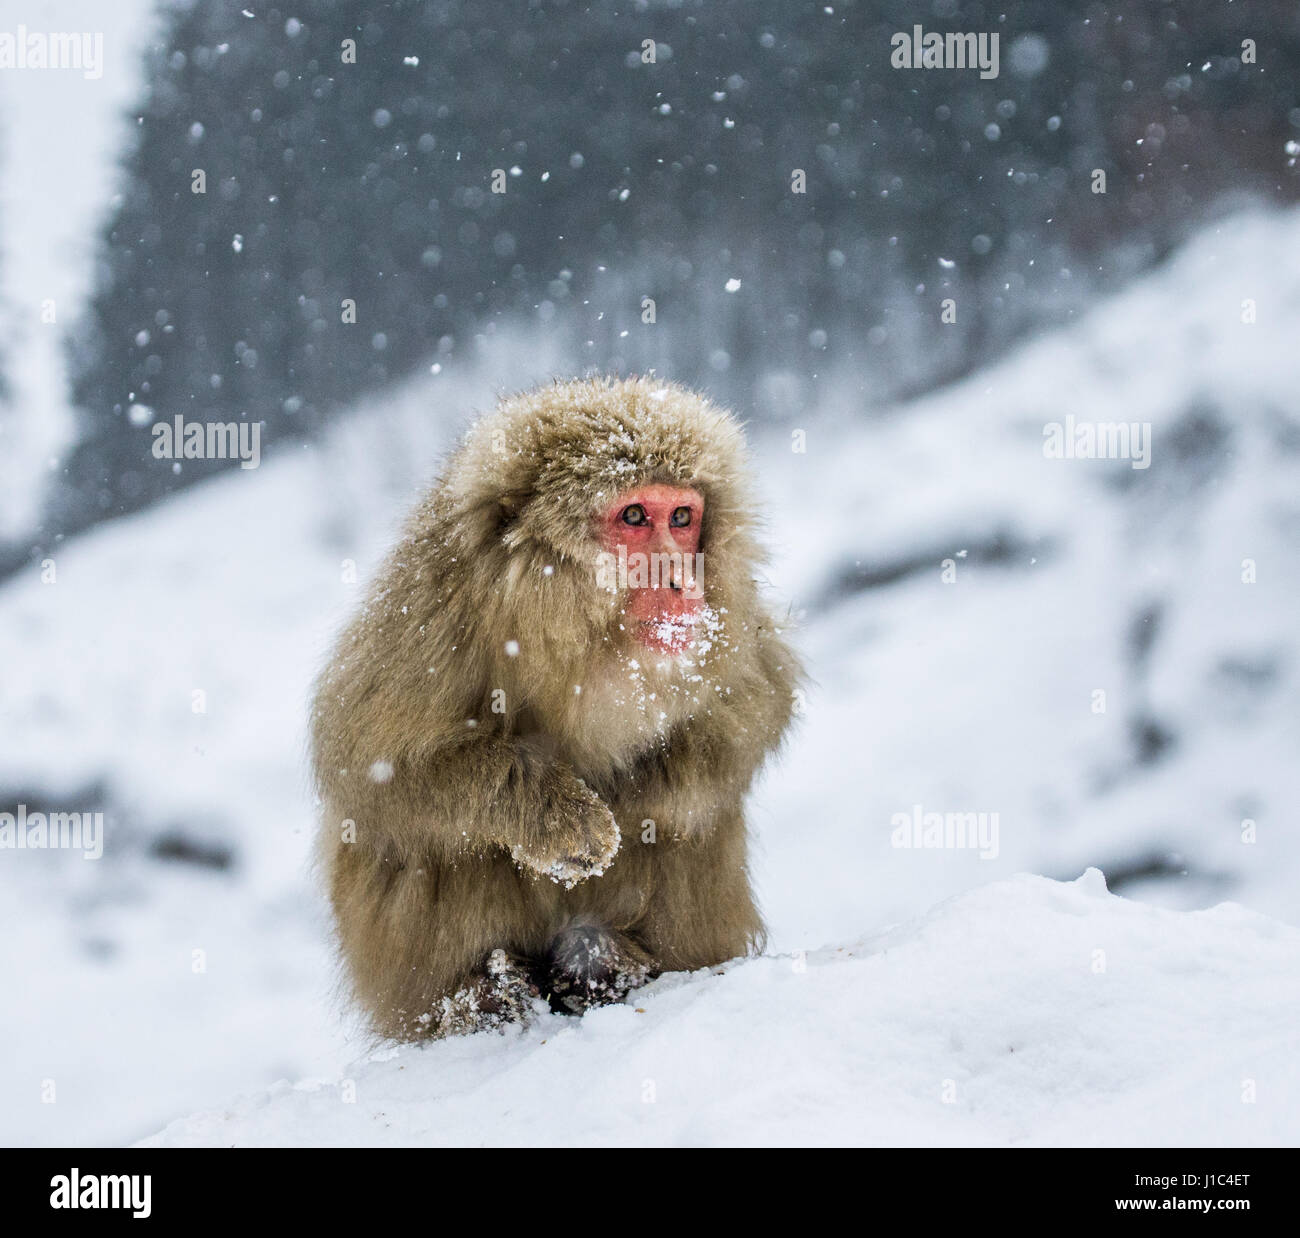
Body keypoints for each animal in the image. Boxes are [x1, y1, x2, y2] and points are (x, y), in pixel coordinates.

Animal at [310, 375, 801, 1040]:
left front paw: (637, 789)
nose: (681, 575)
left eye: (682, 517)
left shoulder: (726, 619)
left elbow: (757, 697)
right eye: (634, 516)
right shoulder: (436, 604)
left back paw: (608, 964)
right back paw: (481, 996)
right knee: (429, 840)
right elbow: (366, 758)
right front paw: (559, 816)